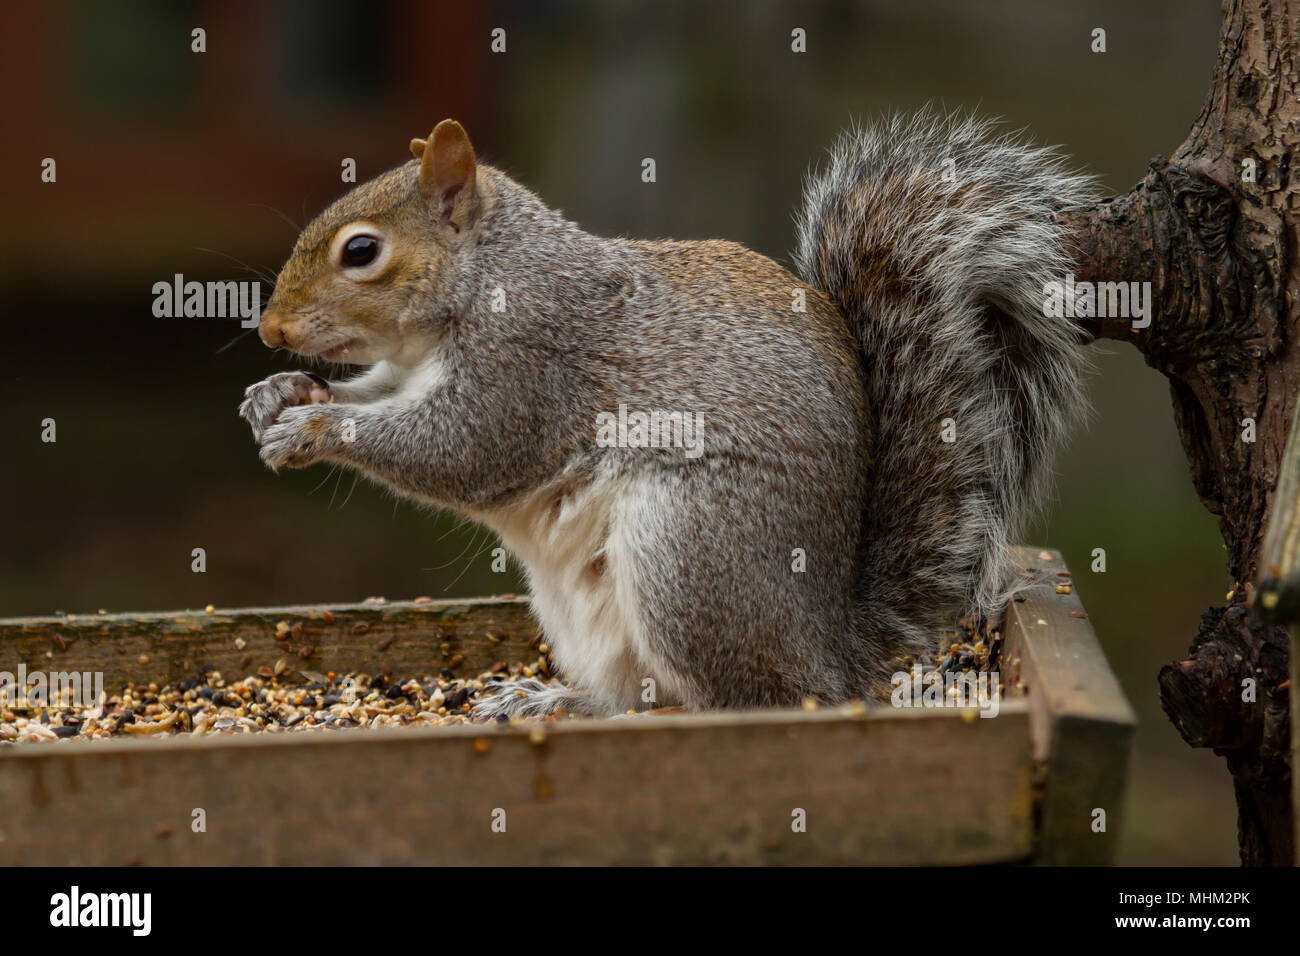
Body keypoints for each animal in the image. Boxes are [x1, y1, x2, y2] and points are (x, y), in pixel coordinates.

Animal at [239, 112, 1095, 720]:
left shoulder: (527, 363)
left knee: (737, 704)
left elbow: (459, 449)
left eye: (361, 252)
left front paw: (314, 430)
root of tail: (831, 656)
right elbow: (373, 394)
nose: (270, 331)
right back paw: (557, 700)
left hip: (688, 554)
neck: (486, 275)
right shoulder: (403, 371)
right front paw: (277, 396)